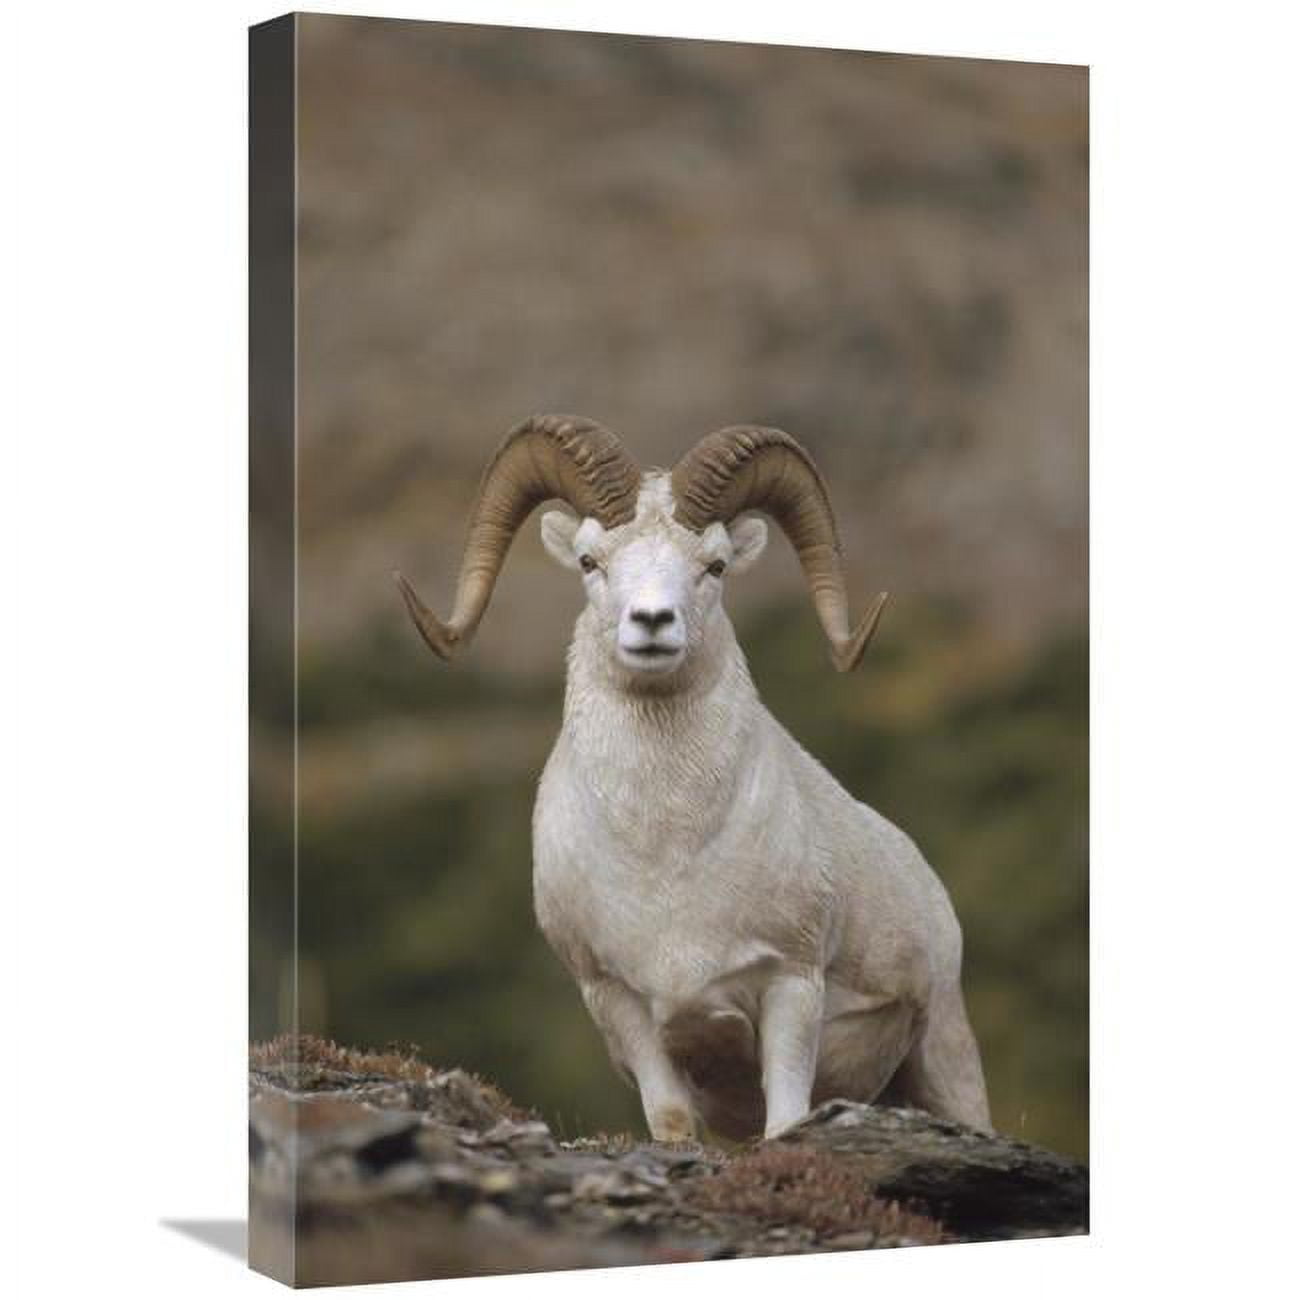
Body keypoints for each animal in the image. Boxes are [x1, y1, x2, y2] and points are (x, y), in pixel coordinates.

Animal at [395, 414, 990, 1142]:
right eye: (591, 561)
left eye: (714, 565)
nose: (652, 622)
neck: (666, 856)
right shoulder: (621, 1005)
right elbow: (672, 1120)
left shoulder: (791, 988)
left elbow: (785, 1121)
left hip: (945, 1056)